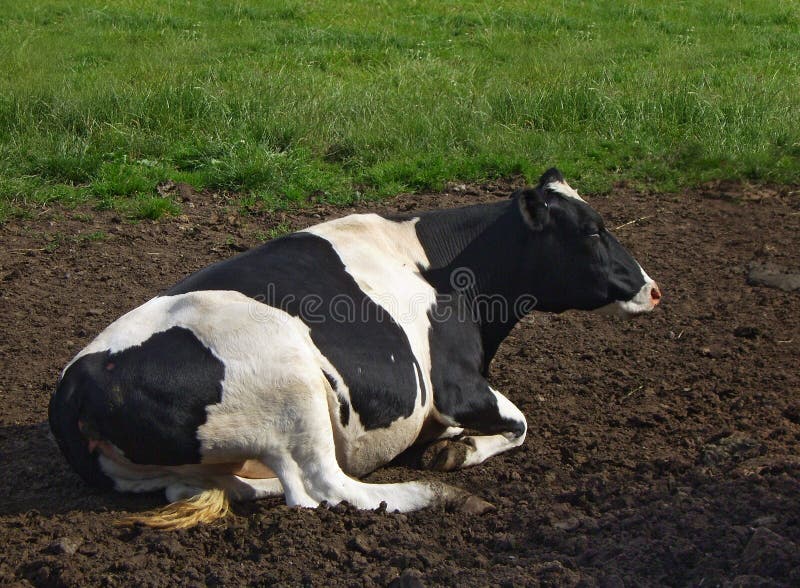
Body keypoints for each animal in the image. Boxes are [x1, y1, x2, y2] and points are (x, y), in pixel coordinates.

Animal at [49, 168, 661, 528]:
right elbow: (520, 424)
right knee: (324, 487)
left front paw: (454, 445)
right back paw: (439, 495)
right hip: (292, 384)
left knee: (230, 487)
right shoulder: (455, 386)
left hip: (179, 464)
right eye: (593, 230)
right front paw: (457, 453)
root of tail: (75, 383)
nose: (654, 288)